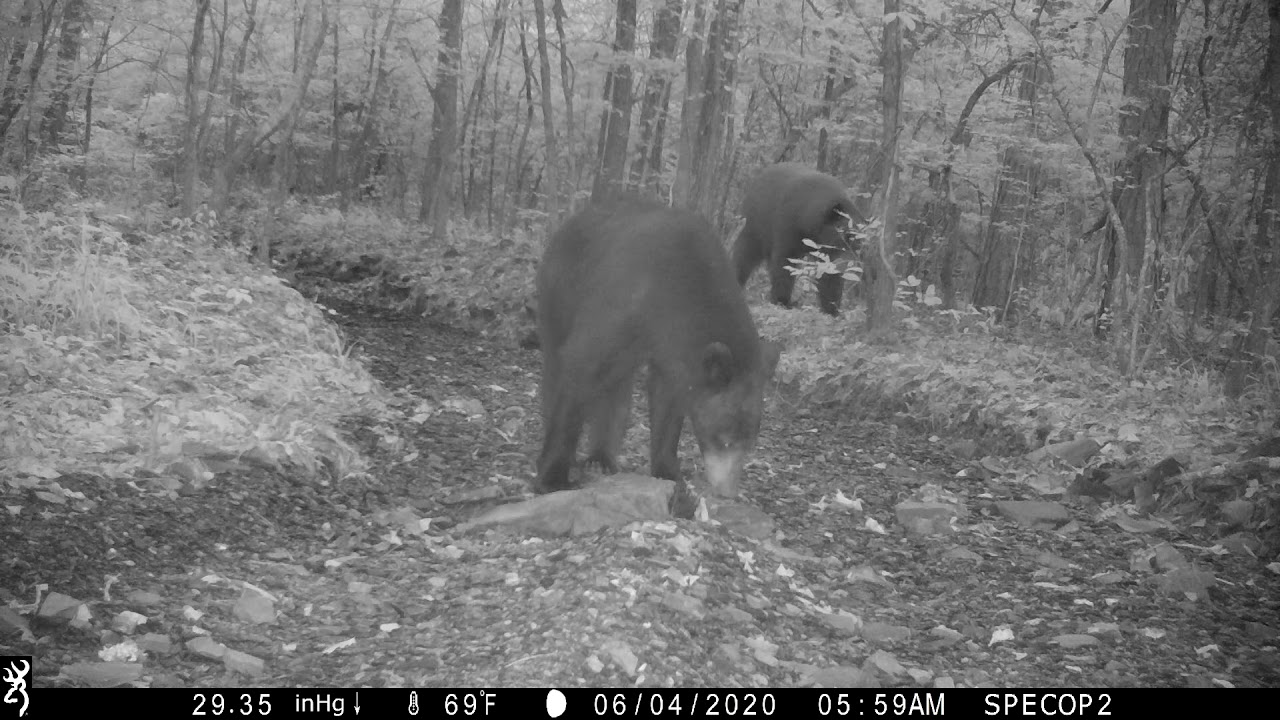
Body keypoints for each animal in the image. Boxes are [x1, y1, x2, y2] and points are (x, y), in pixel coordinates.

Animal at [534, 200, 781, 498]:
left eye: (750, 441)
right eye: (723, 438)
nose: (728, 491)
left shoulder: (671, 346)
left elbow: (668, 399)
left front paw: (669, 472)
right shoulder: (620, 302)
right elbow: (581, 364)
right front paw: (553, 477)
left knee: (616, 388)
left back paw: (602, 457)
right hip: (559, 294)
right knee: (557, 368)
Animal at [731, 163, 864, 315]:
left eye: (860, 242)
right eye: (846, 236)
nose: (851, 264)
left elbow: (828, 276)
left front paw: (832, 308)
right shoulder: (788, 224)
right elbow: (784, 261)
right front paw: (782, 301)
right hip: (756, 225)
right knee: (745, 253)